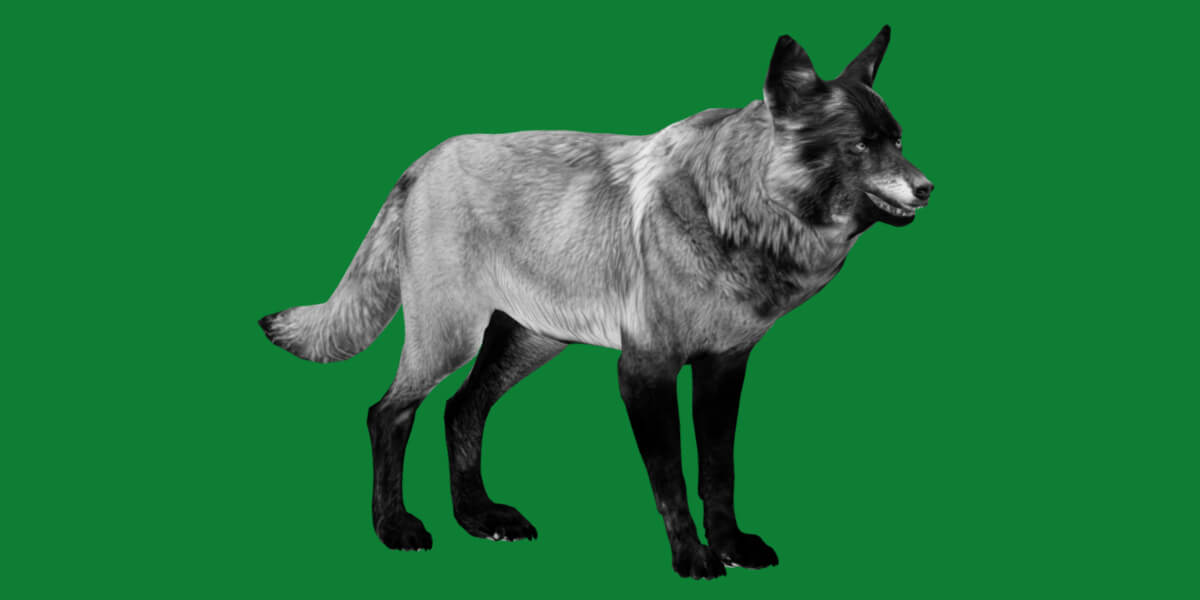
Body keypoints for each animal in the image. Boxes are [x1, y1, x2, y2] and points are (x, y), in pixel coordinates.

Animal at [259, 26, 933, 579]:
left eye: (898, 140)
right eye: (861, 146)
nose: (928, 188)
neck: (733, 213)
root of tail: (422, 163)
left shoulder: (723, 369)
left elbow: (719, 471)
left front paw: (732, 546)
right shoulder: (644, 372)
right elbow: (671, 478)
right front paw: (693, 559)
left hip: (527, 344)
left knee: (461, 410)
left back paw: (480, 518)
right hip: (451, 339)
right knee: (388, 414)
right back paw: (395, 528)